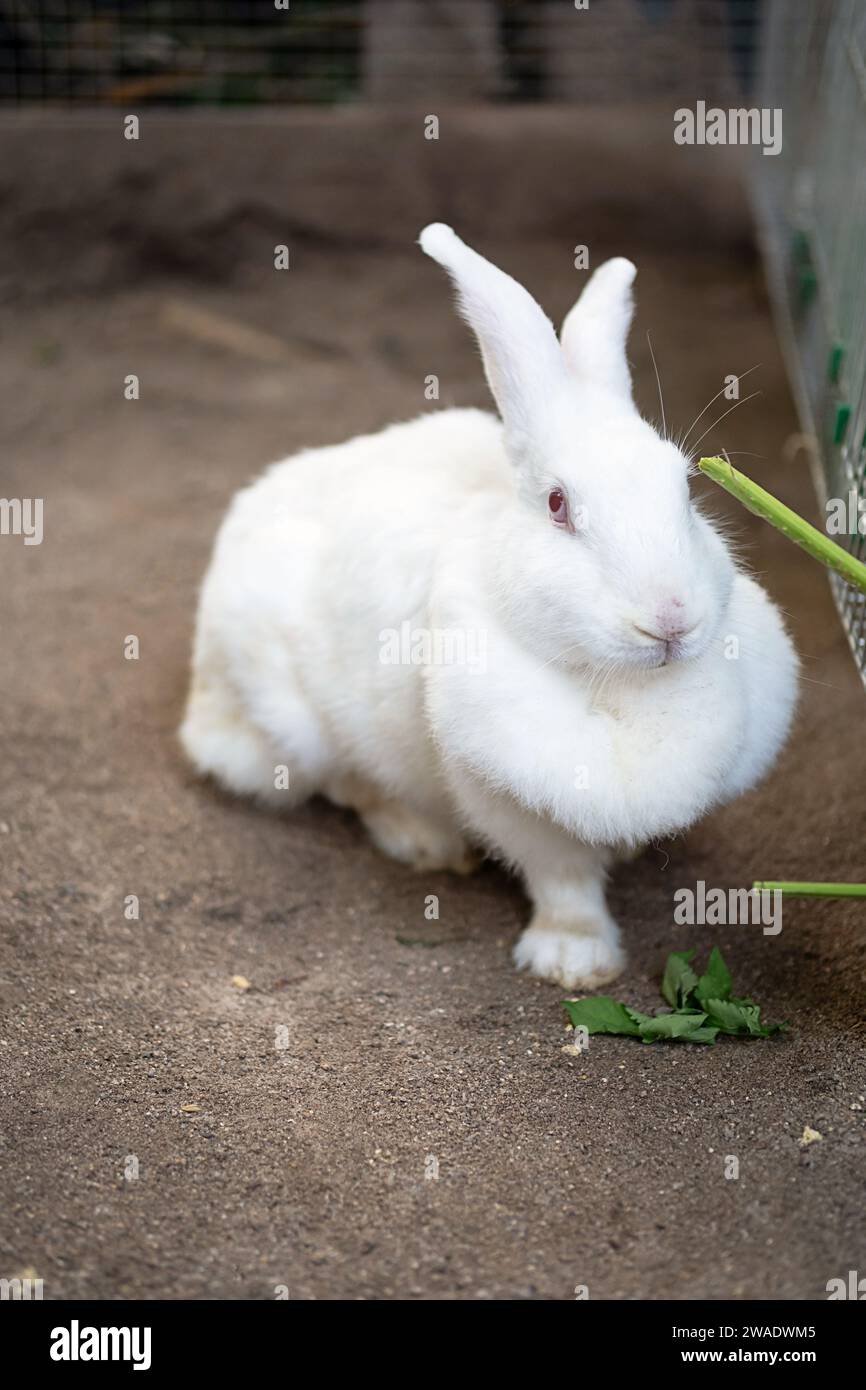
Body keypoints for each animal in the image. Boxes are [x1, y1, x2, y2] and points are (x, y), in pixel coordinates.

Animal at [180, 223, 798, 989]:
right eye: (558, 505)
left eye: (685, 491)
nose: (671, 620)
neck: (620, 681)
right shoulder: (507, 799)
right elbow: (563, 881)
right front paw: (575, 963)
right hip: (293, 724)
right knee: (348, 783)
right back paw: (423, 842)